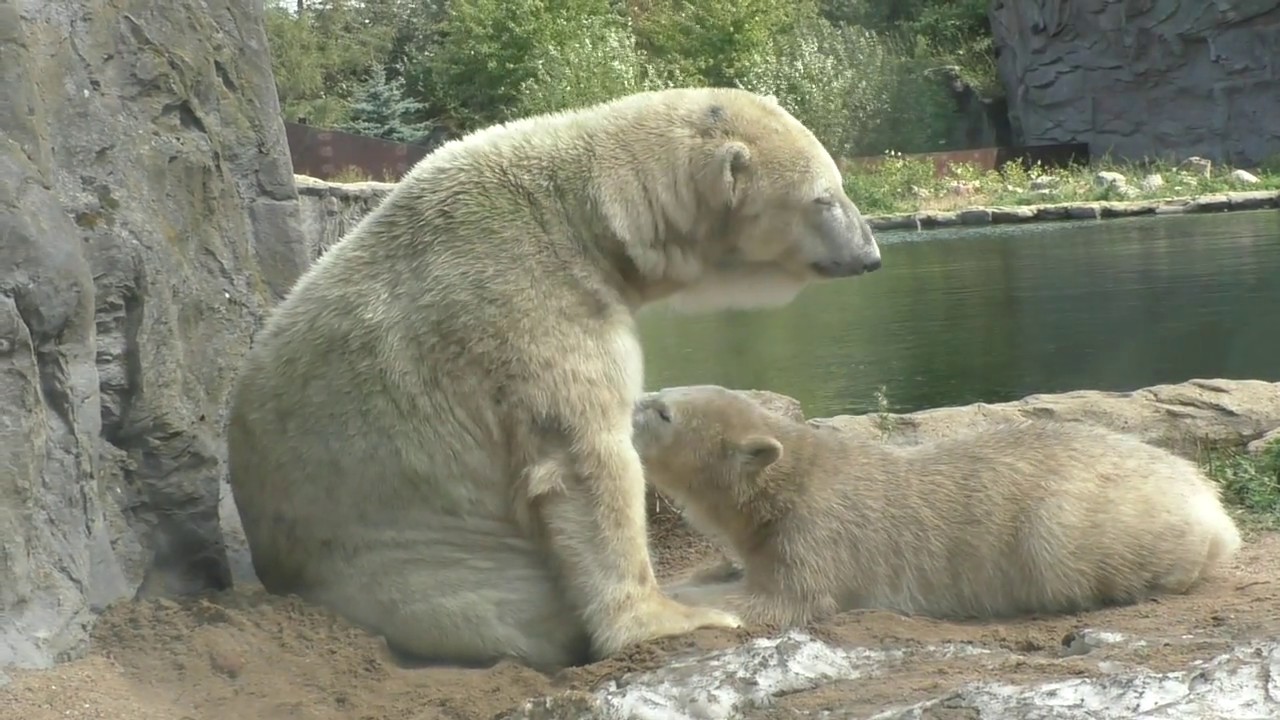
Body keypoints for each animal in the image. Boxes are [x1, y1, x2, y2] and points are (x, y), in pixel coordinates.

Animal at [226, 87, 883, 672]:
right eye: (825, 196)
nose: (872, 256)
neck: (581, 217)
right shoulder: (535, 310)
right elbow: (584, 462)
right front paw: (673, 617)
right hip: (430, 568)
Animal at [633, 385, 1243, 627]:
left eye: (664, 412)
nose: (635, 402)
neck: (784, 484)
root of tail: (1209, 501)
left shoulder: (817, 531)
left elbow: (781, 600)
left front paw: (678, 600)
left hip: (1076, 522)